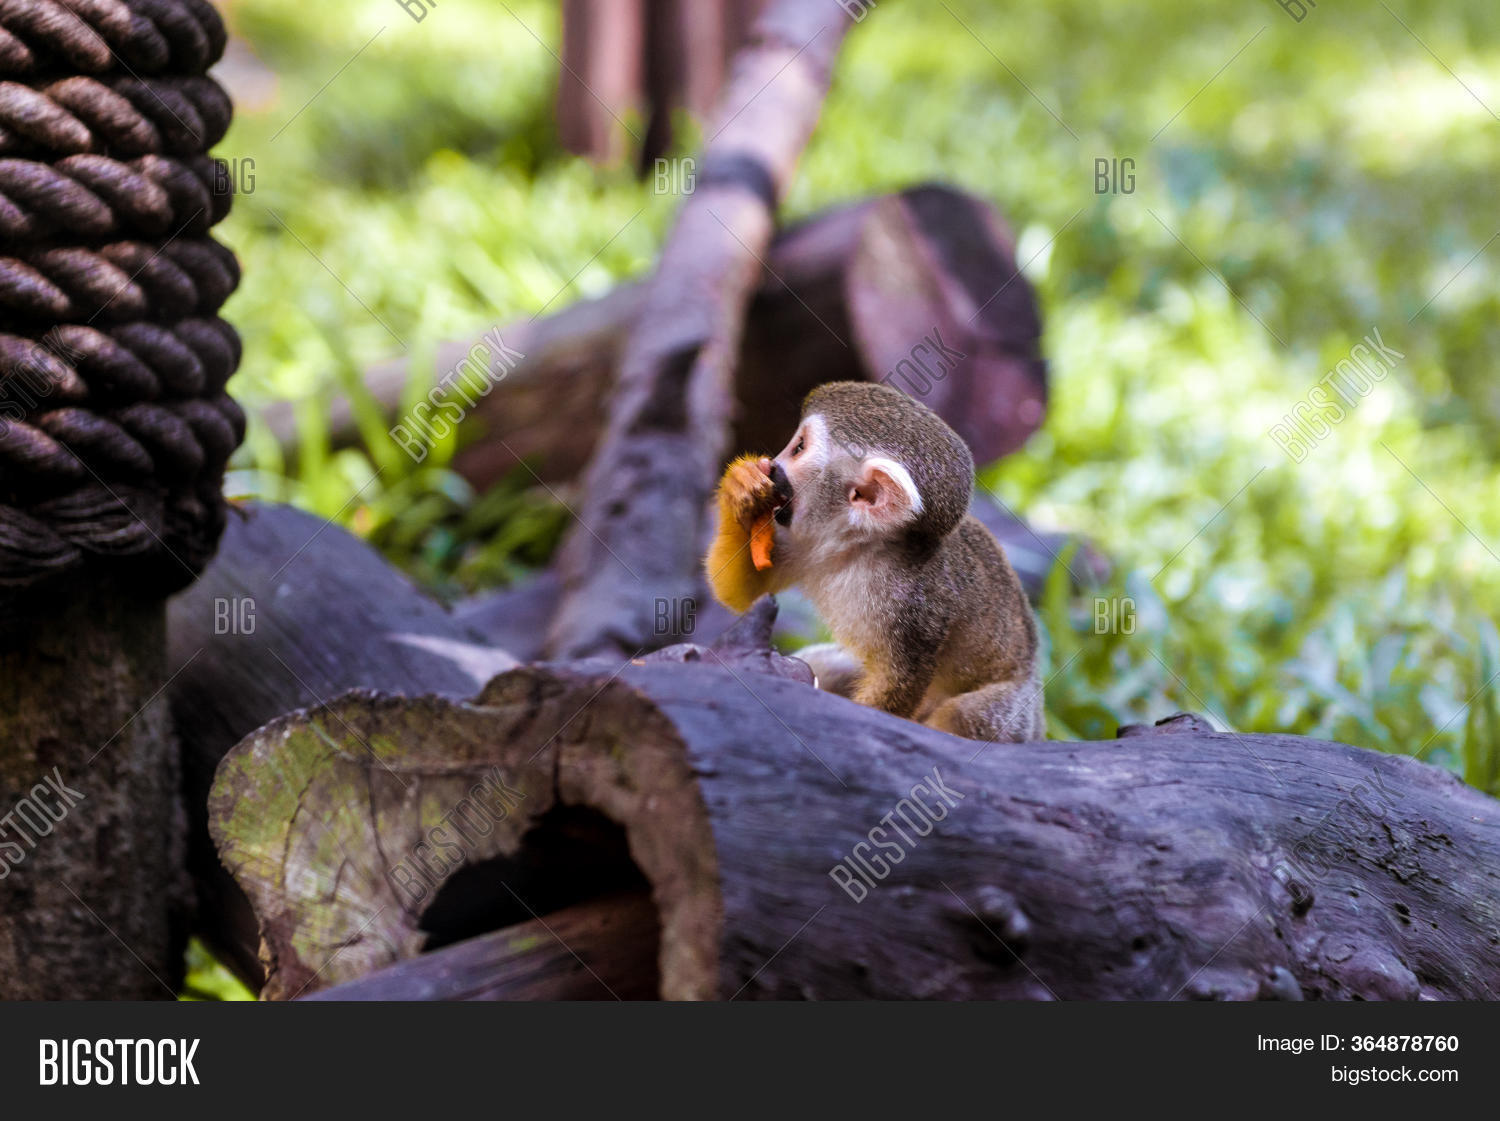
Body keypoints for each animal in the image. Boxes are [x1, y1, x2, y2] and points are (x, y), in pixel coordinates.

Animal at [705, 381, 1045, 743]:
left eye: (798, 448)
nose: (773, 465)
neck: (859, 546)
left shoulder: (917, 602)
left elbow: (900, 681)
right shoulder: (804, 538)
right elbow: (745, 592)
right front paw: (741, 487)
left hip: (1017, 716)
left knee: (966, 714)